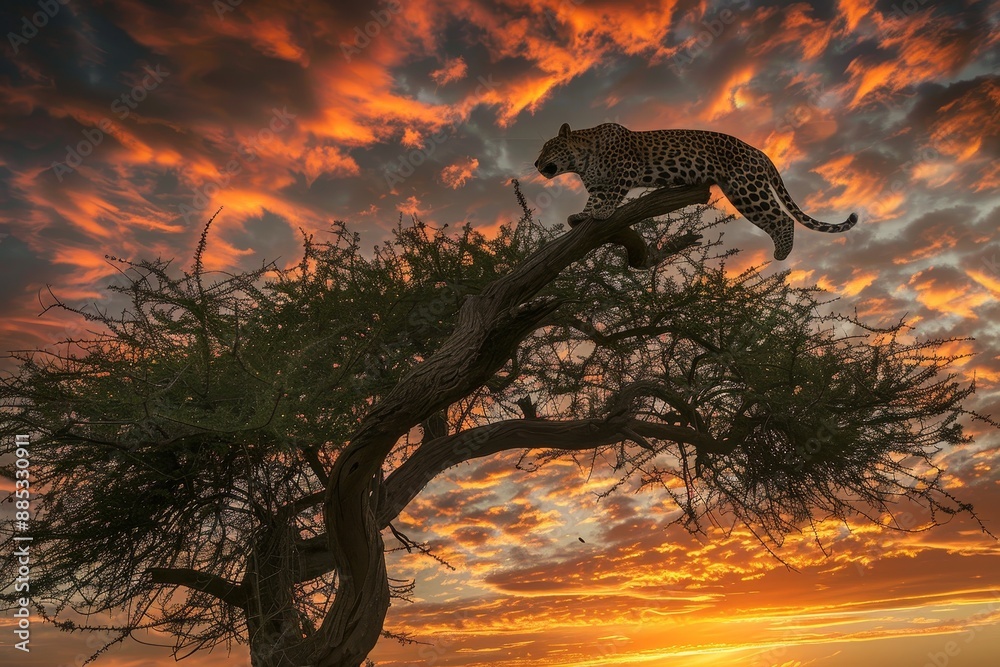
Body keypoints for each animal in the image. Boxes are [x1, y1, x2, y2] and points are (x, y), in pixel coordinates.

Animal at [534, 122, 858, 260]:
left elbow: (611, 196)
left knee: (783, 217)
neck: (580, 161)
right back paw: (781, 249)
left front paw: (601, 213)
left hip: (748, 185)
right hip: (739, 192)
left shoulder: (626, 170)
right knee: (772, 219)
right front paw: (581, 216)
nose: (536, 163)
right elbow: (594, 198)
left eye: (548, 147)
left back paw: (783, 252)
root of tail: (759, 151)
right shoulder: (598, 183)